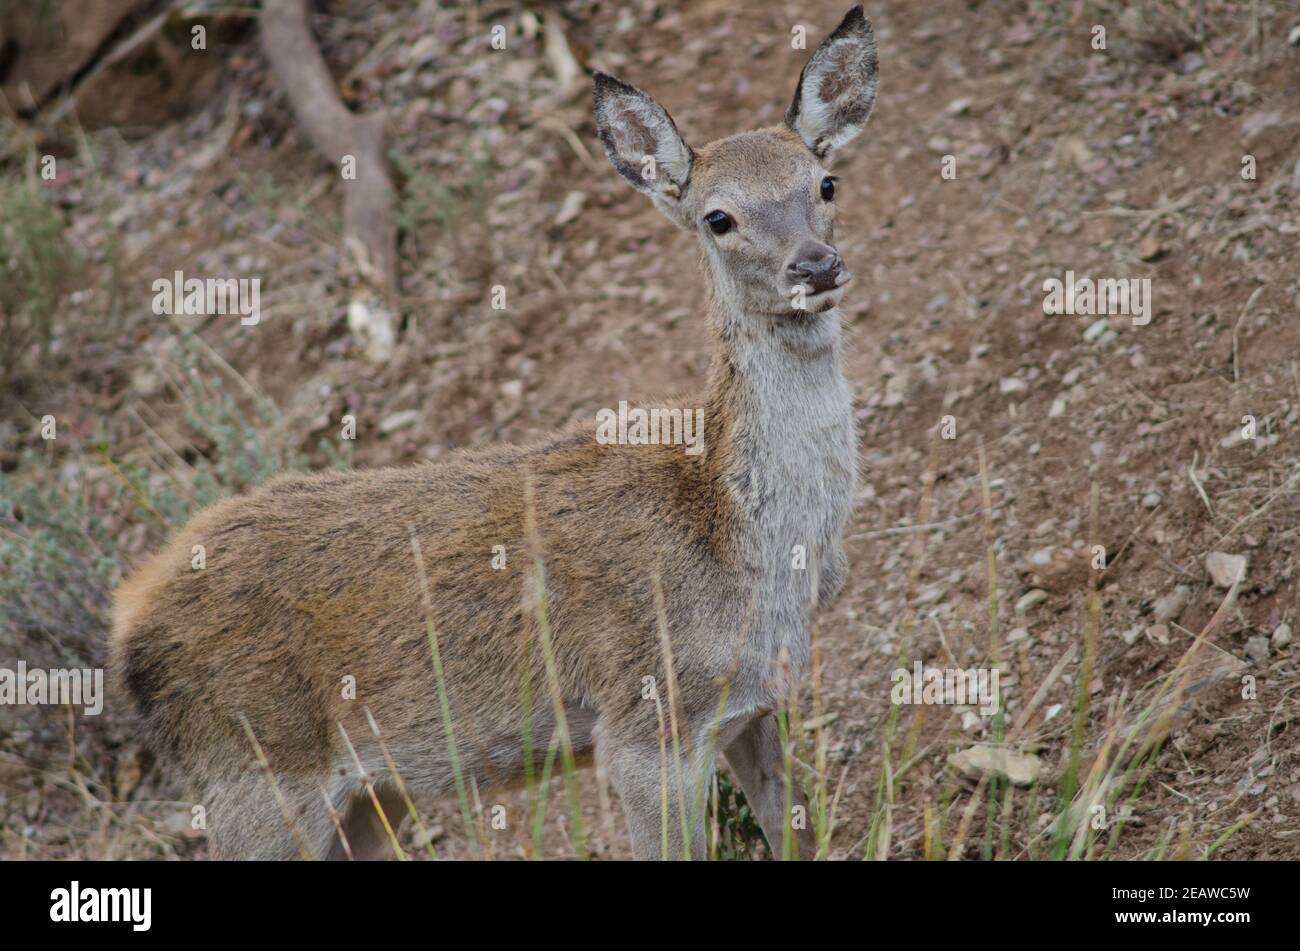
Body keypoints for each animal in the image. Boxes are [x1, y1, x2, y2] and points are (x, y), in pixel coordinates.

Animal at [111, 6, 879, 861]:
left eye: (824, 182)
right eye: (718, 217)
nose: (816, 264)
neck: (749, 545)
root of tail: (129, 617)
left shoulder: (753, 702)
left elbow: (794, 827)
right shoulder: (646, 724)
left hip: (368, 794)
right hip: (258, 778)